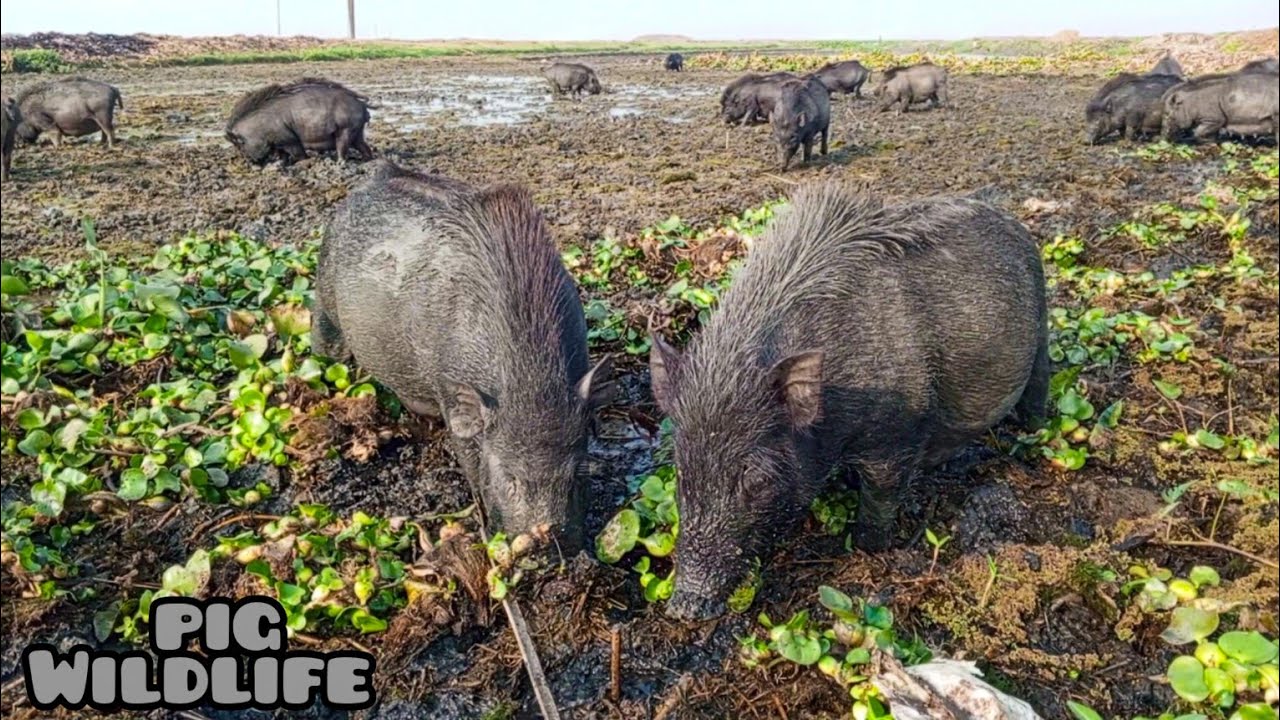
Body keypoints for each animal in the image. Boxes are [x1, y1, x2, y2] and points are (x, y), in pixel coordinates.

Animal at [225, 77, 372, 165]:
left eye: (240, 143)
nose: (248, 163)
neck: (260, 127)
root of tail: (362, 105)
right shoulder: (278, 142)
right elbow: (282, 155)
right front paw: (280, 164)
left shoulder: (289, 139)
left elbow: (299, 154)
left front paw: (304, 163)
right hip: (356, 131)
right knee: (364, 146)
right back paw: (366, 161)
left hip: (345, 129)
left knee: (342, 147)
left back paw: (339, 164)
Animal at [312, 160, 612, 550]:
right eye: (509, 478)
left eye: (577, 475)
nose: (548, 540)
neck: (530, 384)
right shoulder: (452, 395)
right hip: (324, 296)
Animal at [649, 185, 1048, 620]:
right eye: (681, 470)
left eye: (754, 478)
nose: (683, 606)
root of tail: (1011, 218)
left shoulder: (895, 433)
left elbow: (880, 501)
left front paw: (868, 551)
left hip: (1043, 334)